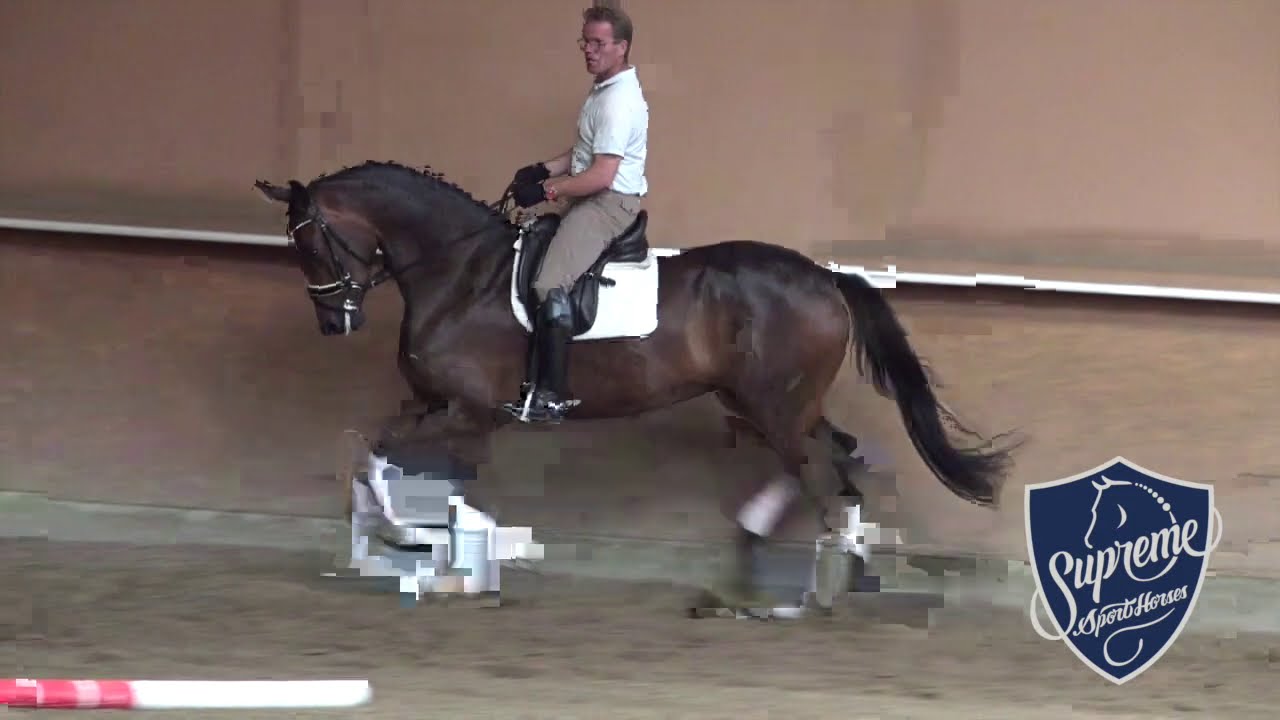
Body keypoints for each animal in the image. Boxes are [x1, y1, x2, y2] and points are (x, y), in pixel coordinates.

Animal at [253, 160, 1021, 615]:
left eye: (310, 242)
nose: (334, 321)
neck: (459, 274)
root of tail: (825, 278)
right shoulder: (431, 404)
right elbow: (372, 455)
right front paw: (404, 550)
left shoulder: (469, 413)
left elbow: (399, 467)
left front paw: (428, 546)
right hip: (767, 402)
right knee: (834, 458)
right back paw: (787, 571)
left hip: (776, 404)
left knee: (818, 476)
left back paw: (811, 590)